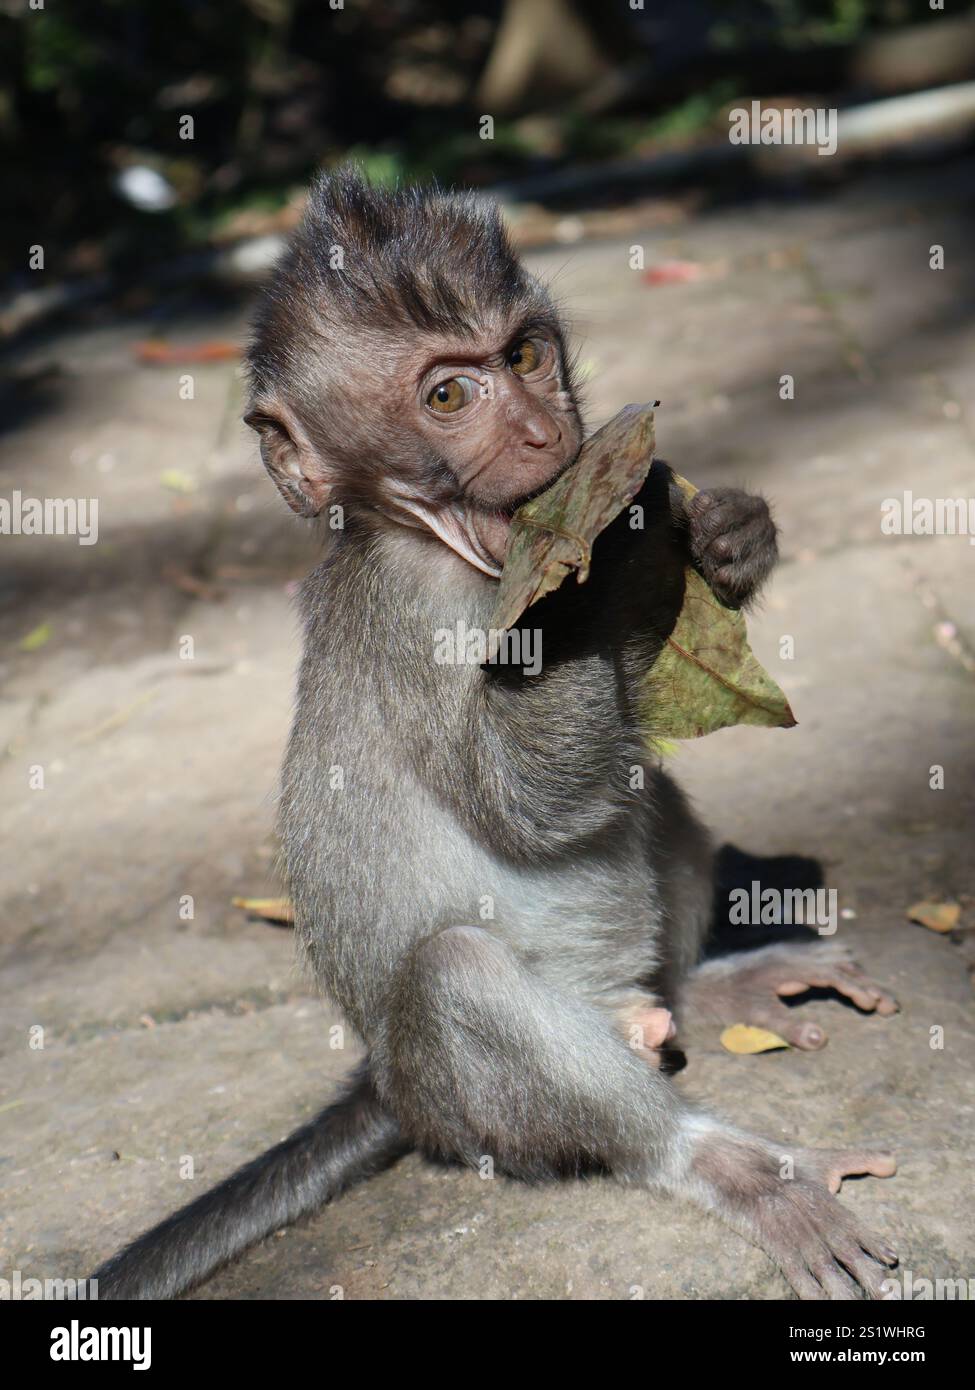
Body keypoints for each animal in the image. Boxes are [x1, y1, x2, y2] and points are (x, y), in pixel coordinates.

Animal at [92, 172, 900, 1302]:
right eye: (447, 397)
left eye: (522, 357)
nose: (541, 429)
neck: (458, 544)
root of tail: (389, 1086)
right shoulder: (415, 617)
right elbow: (522, 801)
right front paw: (604, 564)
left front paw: (731, 533)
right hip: (465, 1105)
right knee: (462, 978)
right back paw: (720, 1161)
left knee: (647, 790)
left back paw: (705, 983)